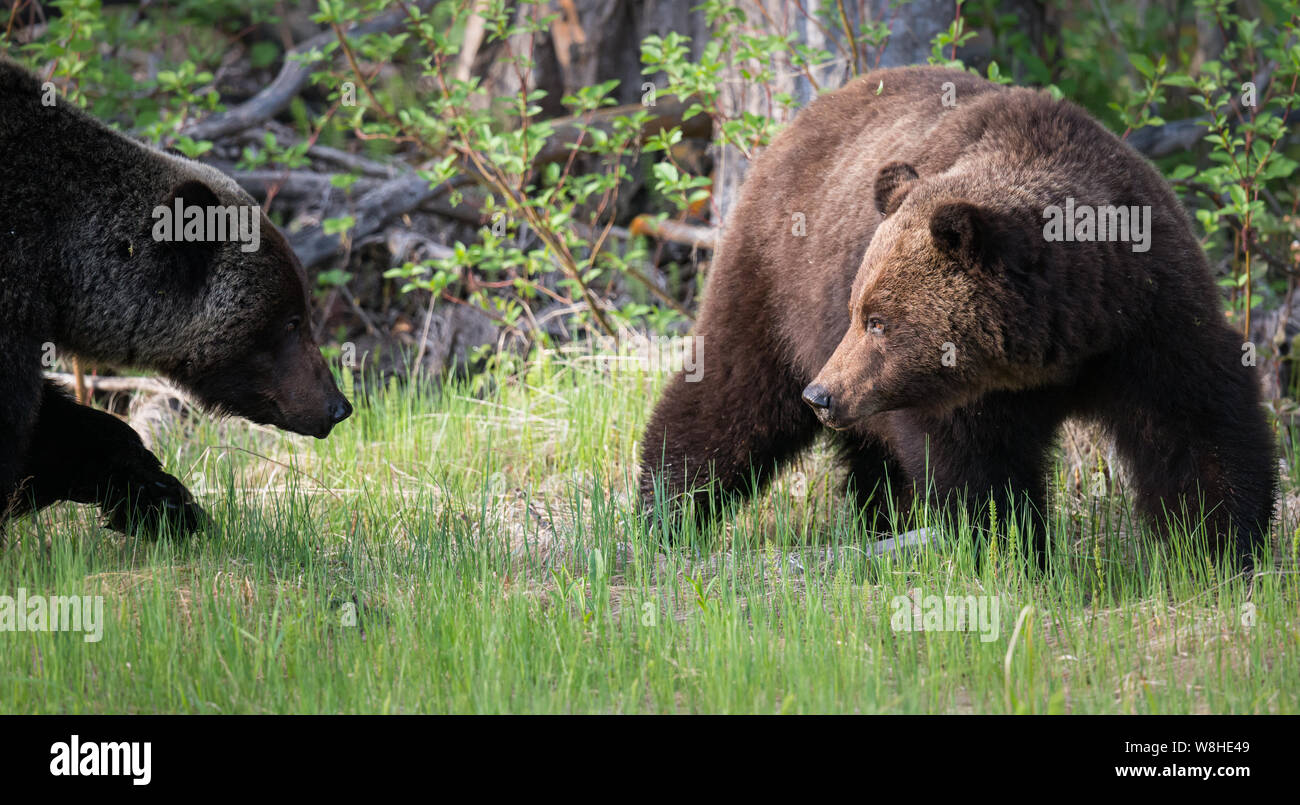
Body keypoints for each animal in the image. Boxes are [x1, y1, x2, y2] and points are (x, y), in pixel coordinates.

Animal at [639, 66, 1276, 571]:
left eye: (877, 321)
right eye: (858, 311)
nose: (822, 394)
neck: (1064, 341)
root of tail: (803, 119)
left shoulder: (1151, 316)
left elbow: (1196, 424)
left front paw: (1224, 548)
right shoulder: (963, 388)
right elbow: (974, 468)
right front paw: (1014, 552)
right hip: (776, 280)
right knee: (730, 395)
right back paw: (661, 510)